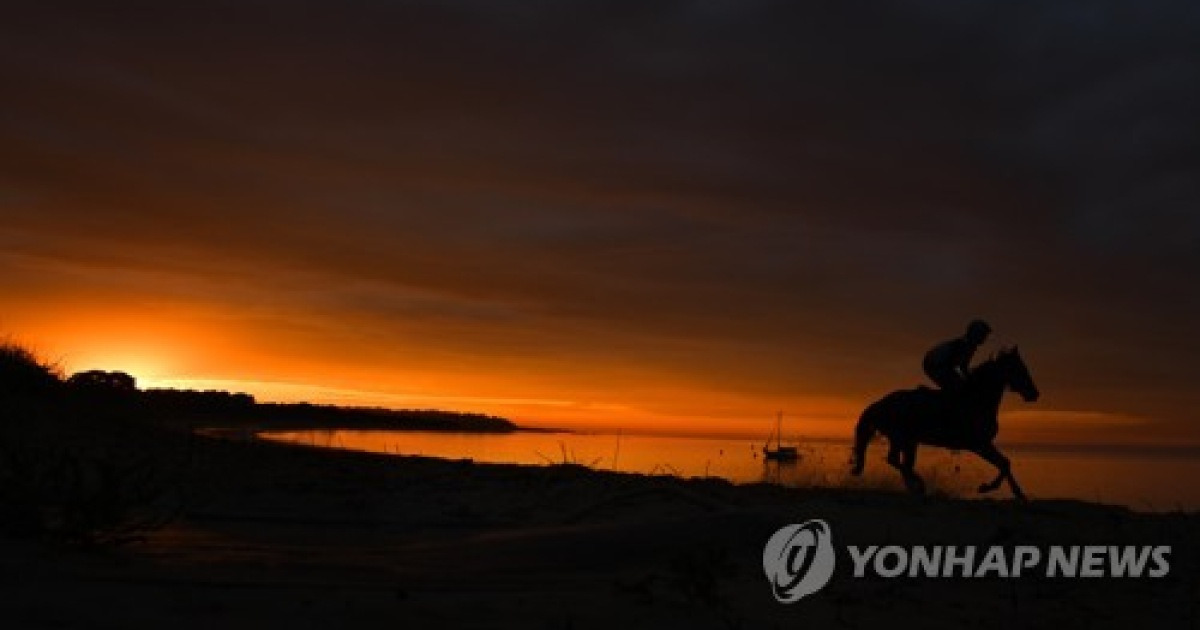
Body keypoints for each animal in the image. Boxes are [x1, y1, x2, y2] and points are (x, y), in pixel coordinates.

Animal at [850, 346, 1040, 499]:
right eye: (1020, 369)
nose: (1034, 393)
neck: (977, 401)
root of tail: (881, 403)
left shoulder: (983, 444)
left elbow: (1005, 462)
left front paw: (1018, 493)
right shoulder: (978, 444)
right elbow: (1004, 463)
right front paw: (986, 487)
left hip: (908, 441)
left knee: (901, 463)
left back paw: (916, 486)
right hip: (902, 438)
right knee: (897, 461)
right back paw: (919, 484)